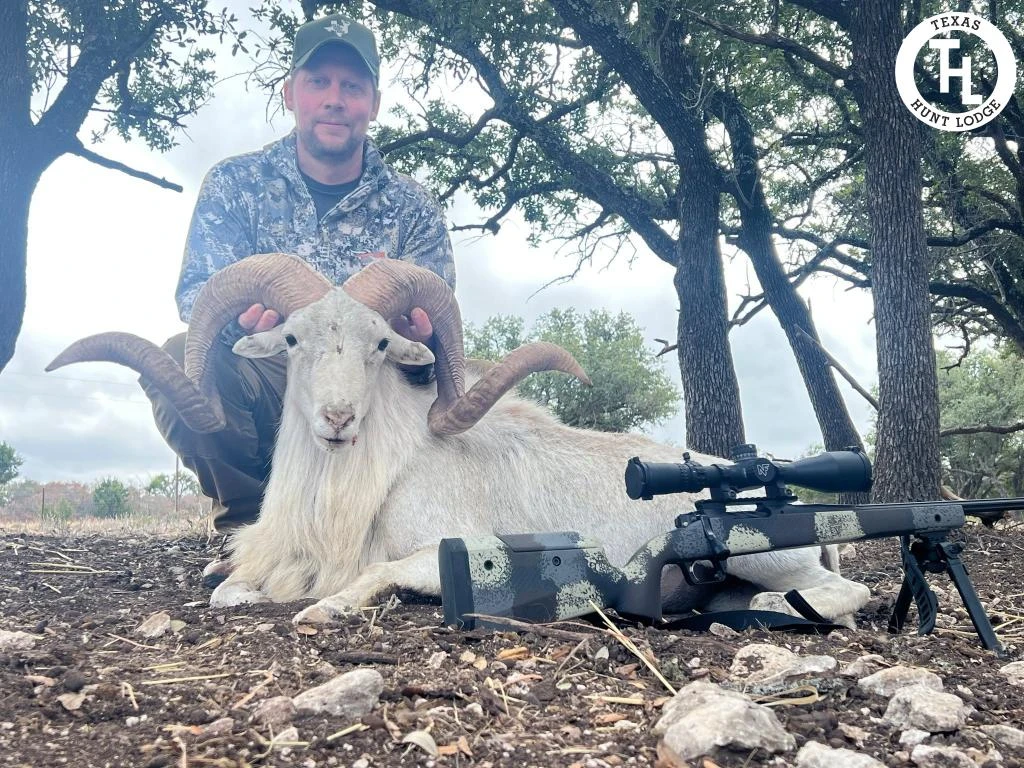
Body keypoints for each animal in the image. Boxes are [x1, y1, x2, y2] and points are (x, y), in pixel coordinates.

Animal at [47, 253, 871, 627]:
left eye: (381, 343)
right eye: (292, 338)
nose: (337, 418)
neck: (359, 494)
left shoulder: (445, 552)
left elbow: (370, 579)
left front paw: (322, 612)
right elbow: (228, 591)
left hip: (775, 562)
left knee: (843, 591)